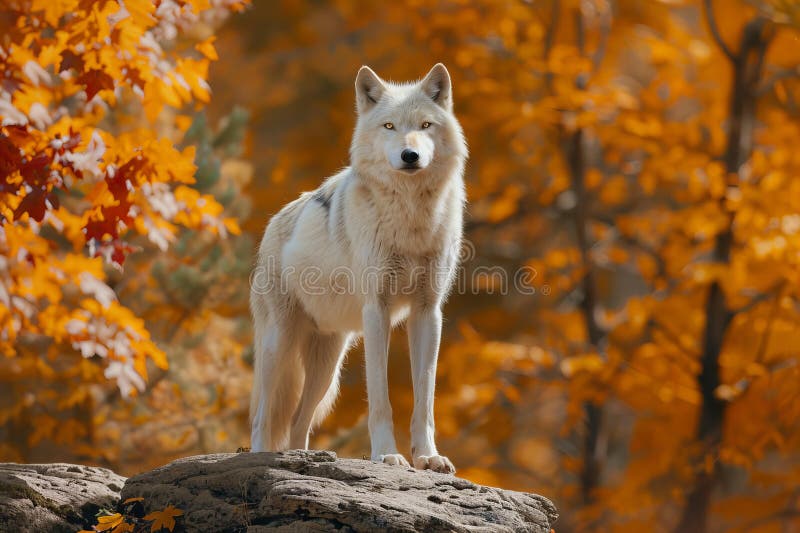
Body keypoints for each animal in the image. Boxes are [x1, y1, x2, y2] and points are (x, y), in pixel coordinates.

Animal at [249, 63, 467, 473]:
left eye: (426, 125)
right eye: (389, 126)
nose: (410, 155)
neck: (410, 221)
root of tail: (273, 222)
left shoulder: (428, 312)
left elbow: (425, 399)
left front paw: (427, 457)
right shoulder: (376, 311)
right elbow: (380, 398)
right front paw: (386, 454)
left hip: (326, 367)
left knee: (298, 422)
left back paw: (302, 458)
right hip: (278, 347)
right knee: (262, 417)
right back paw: (256, 458)